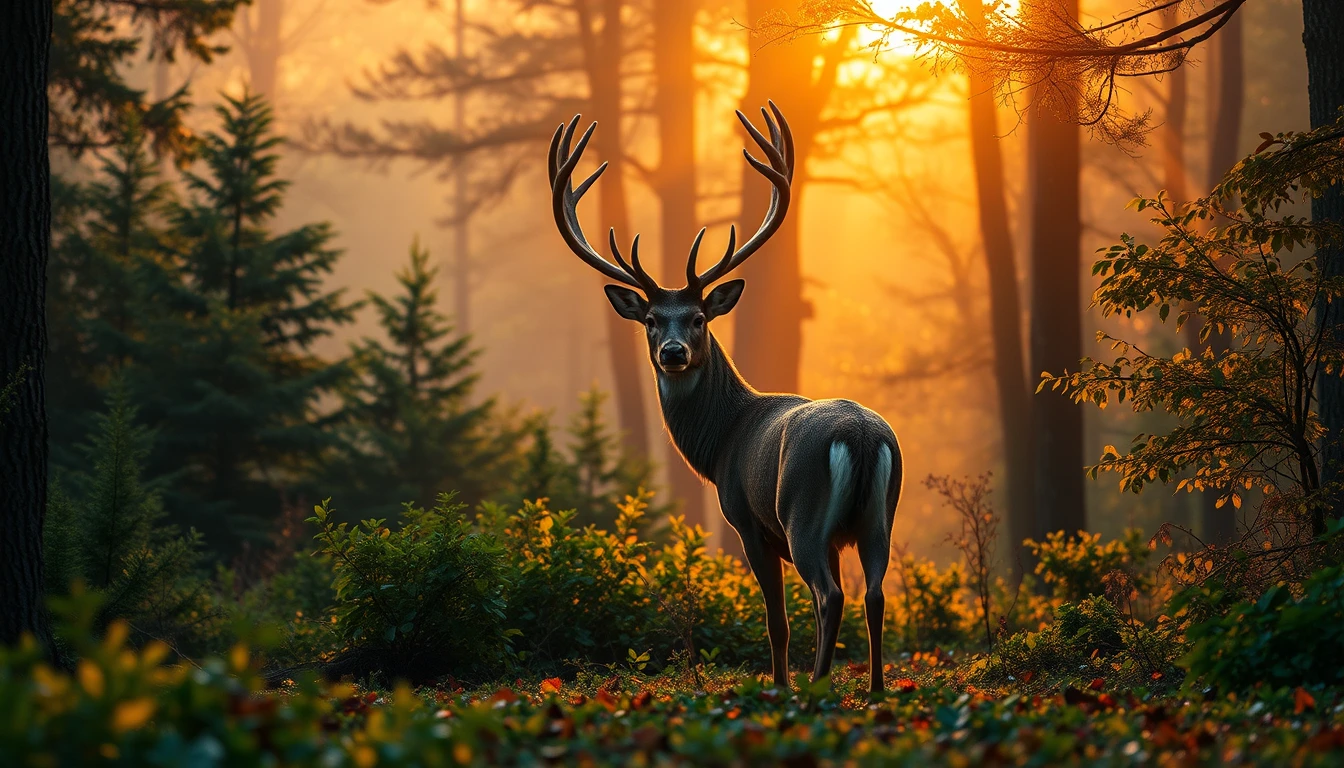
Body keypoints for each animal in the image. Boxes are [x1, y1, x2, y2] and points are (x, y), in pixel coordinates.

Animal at [546, 102, 902, 694]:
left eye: (697, 318)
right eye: (650, 319)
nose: (672, 352)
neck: (720, 444)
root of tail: (859, 436)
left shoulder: (746, 520)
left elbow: (776, 619)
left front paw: (779, 685)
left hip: (803, 515)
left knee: (830, 596)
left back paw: (816, 686)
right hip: (880, 516)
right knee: (874, 595)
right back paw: (874, 689)